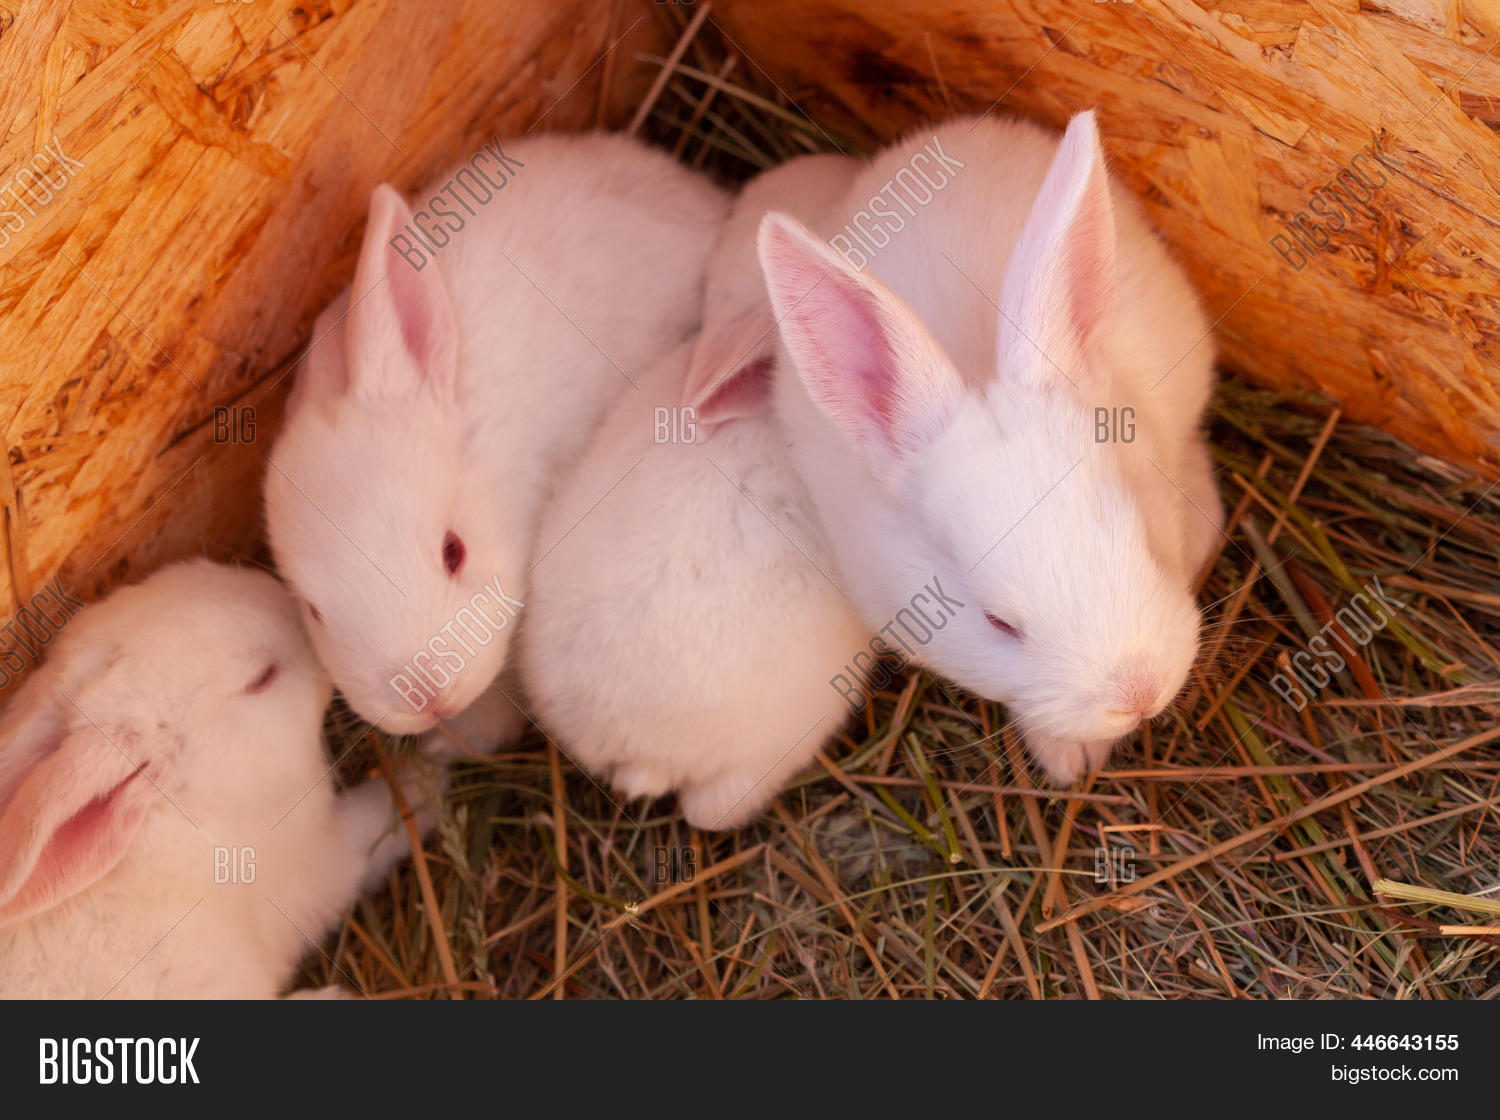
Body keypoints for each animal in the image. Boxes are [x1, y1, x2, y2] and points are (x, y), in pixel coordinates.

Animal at [0, 560, 437, 998]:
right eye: (261, 678)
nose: (290, 599)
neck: (177, 808)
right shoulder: (317, 867)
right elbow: (378, 822)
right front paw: (430, 775)